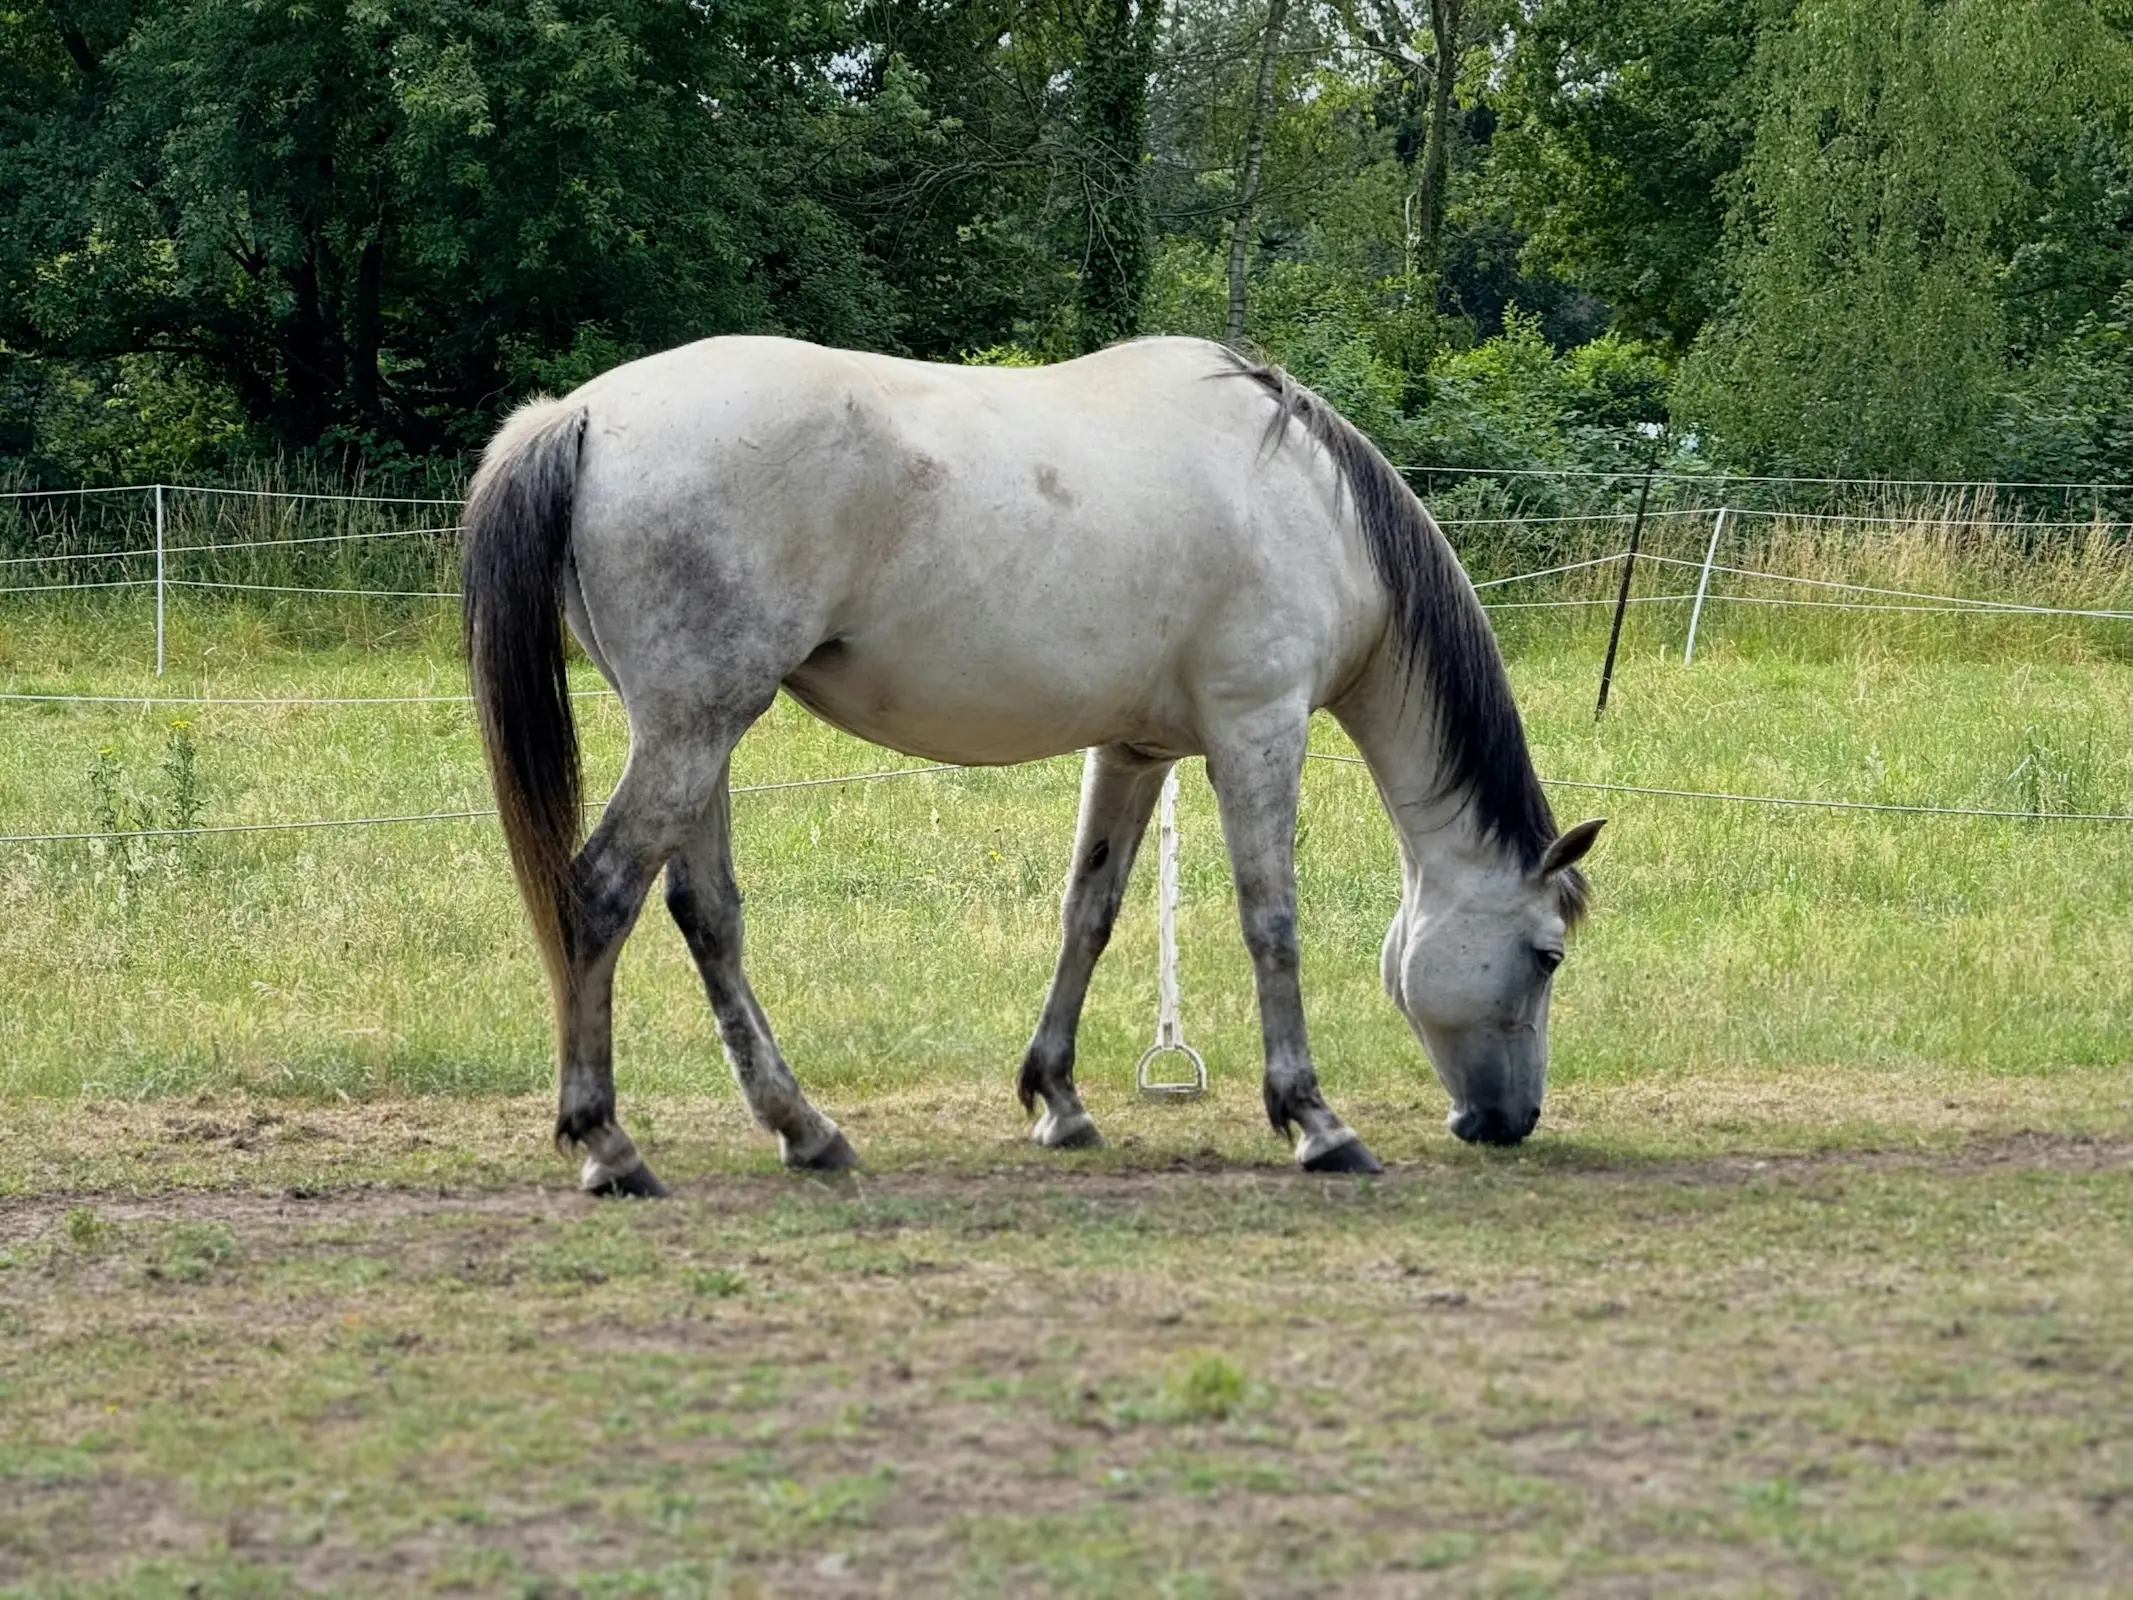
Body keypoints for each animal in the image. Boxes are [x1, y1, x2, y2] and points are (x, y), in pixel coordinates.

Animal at [462, 335, 1602, 1196]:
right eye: (1546, 955)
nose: (1507, 1119)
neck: (1309, 503)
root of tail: (584, 415)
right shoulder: (1259, 731)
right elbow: (1270, 922)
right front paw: (1314, 1120)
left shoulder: (1137, 750)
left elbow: (1088, 913)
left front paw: (1058, 1100)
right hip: (692, 730)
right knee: (600, 894)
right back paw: (609, 1146)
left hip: (697, 733)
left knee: (706, 916)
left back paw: (804, 1128)